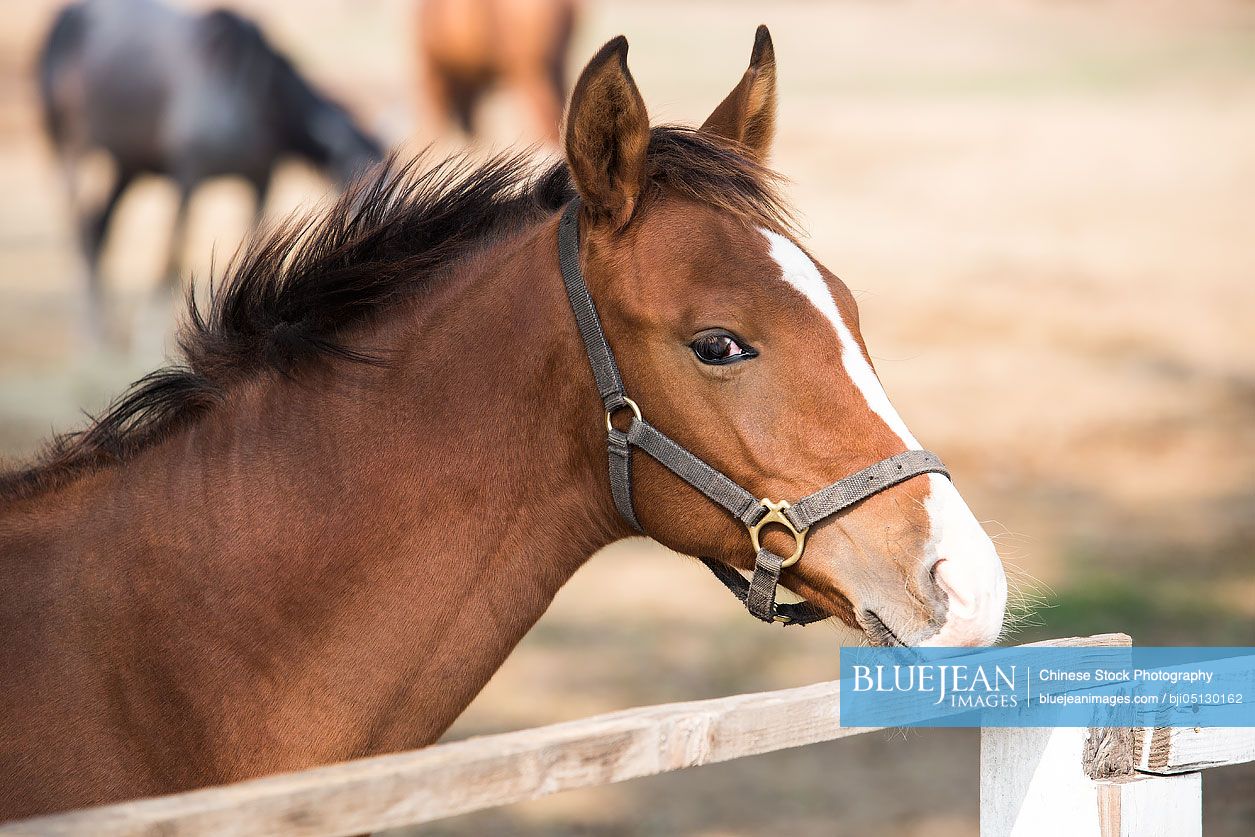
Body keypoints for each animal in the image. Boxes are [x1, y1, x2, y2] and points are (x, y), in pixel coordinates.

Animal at [37, 0, 384, 334]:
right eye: (362, 185)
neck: (251, 96)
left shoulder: (260, 180)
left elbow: (253, 243)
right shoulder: (188, 177)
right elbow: (172, 258)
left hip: (129, 166)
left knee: (99, 229)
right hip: (73, 144)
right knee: (80, 224)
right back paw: (91, 329)